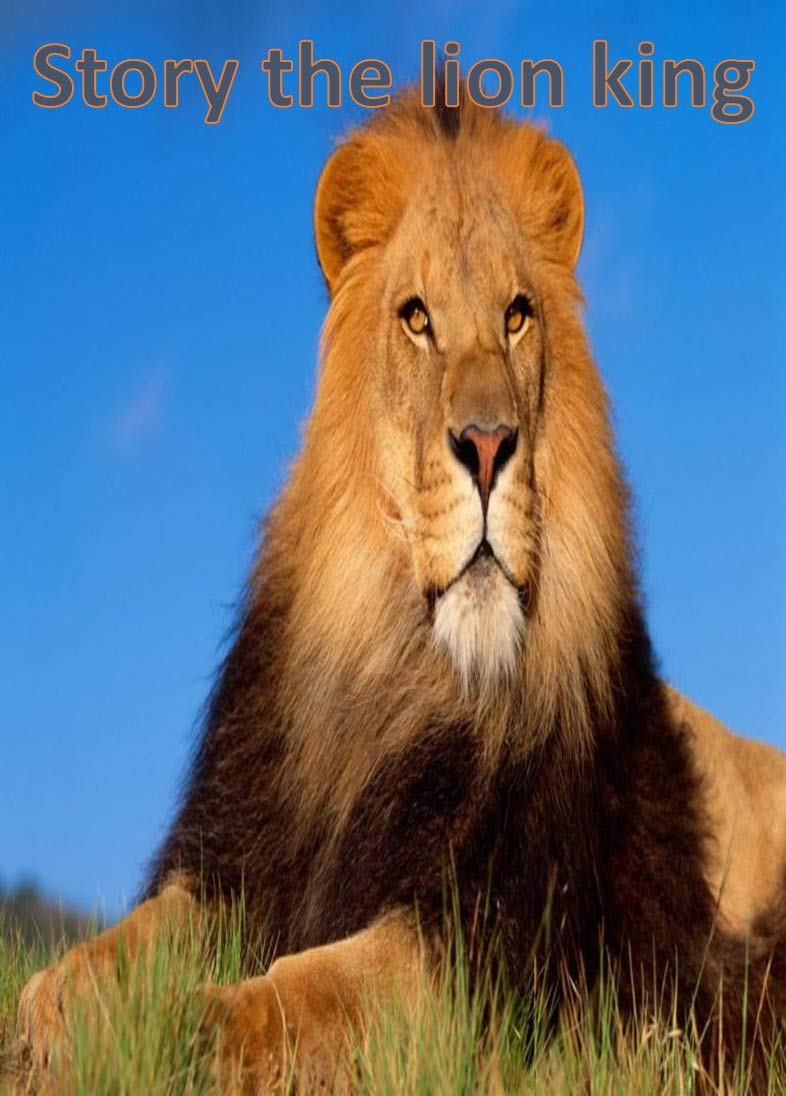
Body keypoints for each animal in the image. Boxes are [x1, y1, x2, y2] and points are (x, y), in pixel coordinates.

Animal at [17, 87, 786, 1090]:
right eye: (416, 318)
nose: (489, 445)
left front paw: (185, 1028)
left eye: (517, 315)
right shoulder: (243, 859)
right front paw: (63, 1009)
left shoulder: (488, 950)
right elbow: (115, 948)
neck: (400, 671)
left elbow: (303, 996)